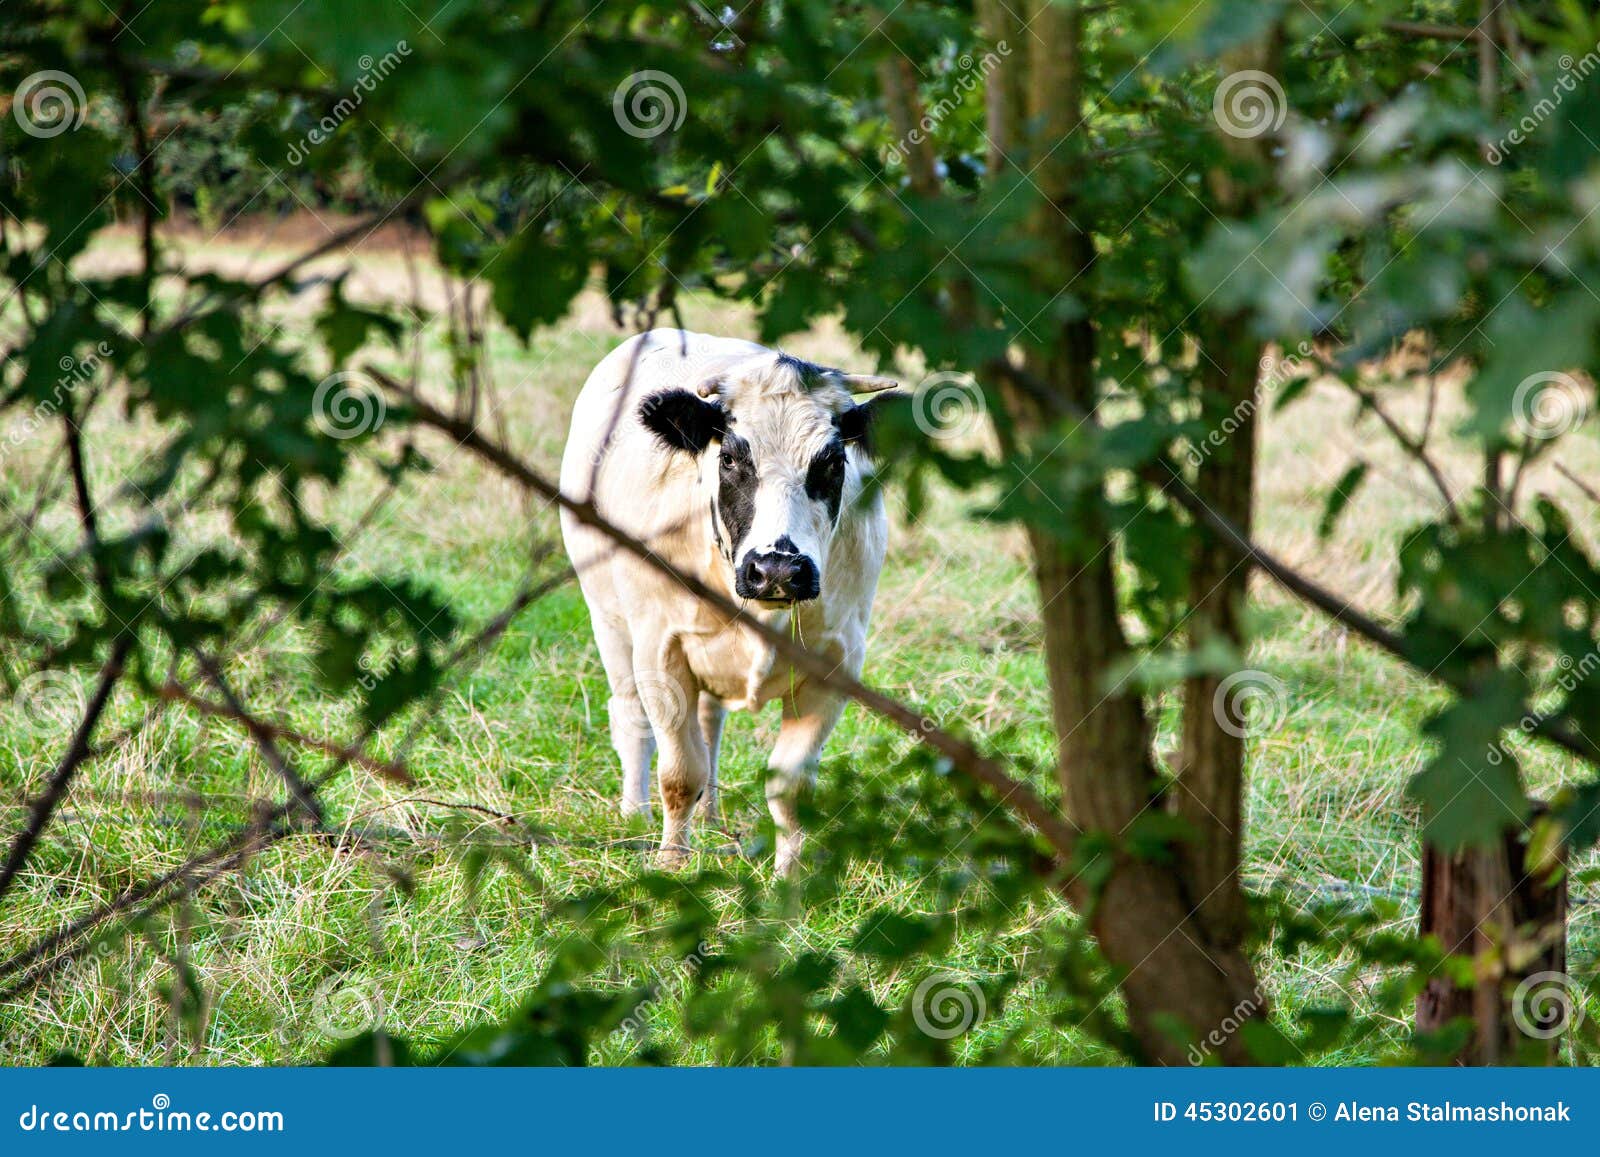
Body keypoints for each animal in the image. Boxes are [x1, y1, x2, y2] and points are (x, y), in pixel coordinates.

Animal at [559, 329, 898, 874]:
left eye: (832, 462)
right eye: (731, 459)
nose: (777, 569)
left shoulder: (836, 663)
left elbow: (789, 787)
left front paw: (790, 877)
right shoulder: (661, 651)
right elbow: (680, 773)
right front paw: (672, 863)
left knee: (709, 722)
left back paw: (713, 818)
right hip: (608, 619)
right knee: (631, 716)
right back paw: (635, 813)